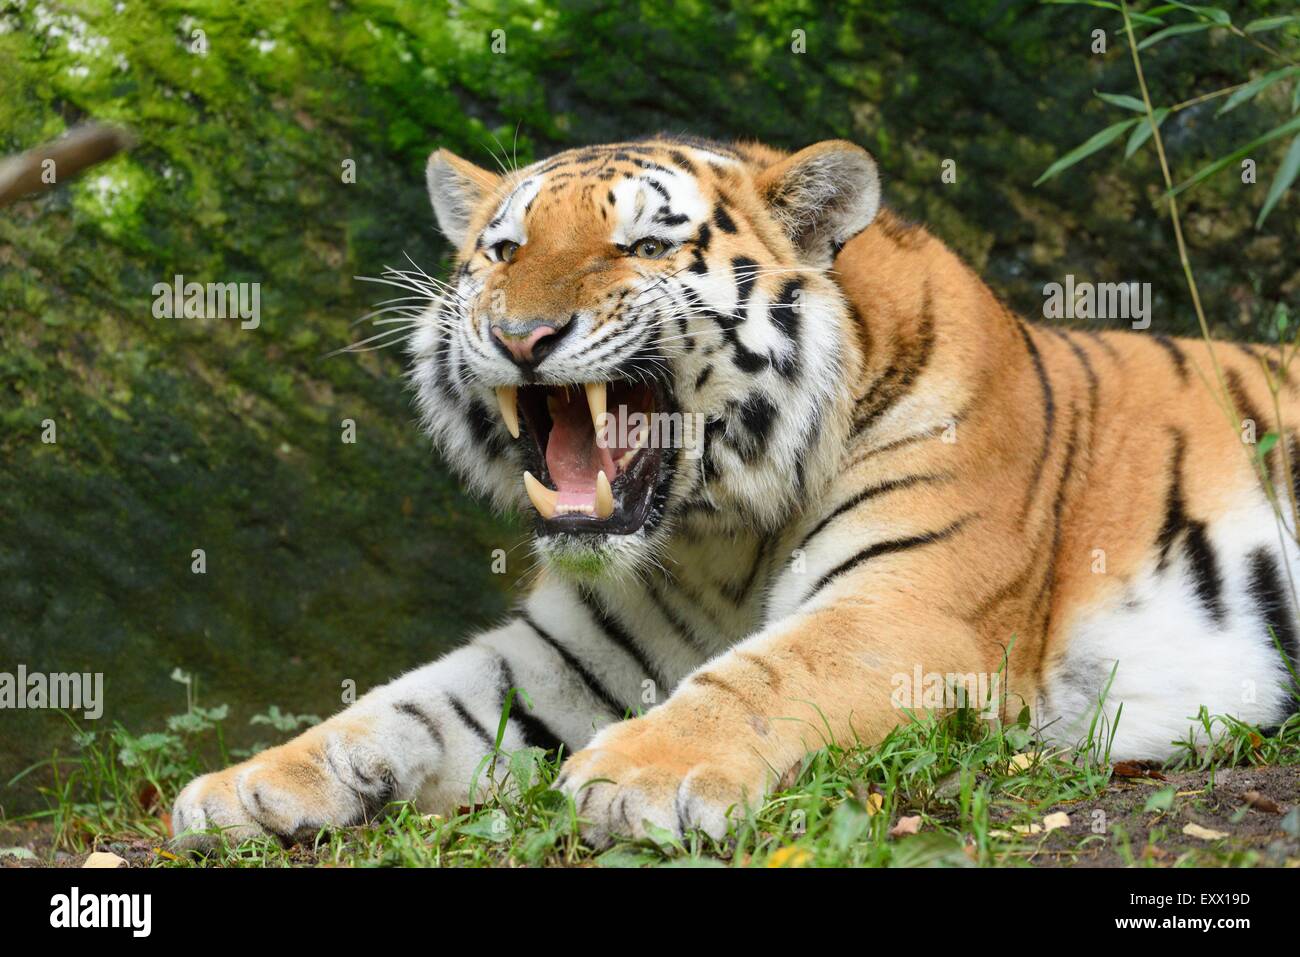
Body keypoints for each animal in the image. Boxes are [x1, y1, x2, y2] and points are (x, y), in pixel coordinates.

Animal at [172, 135, 1300, 849]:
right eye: (503, 250)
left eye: (644, 245)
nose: (521, 337)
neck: (713, 532)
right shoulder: (570, 653)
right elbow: (406, 703)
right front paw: (247, 785)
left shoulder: (909, 608)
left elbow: (763, 675)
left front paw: (633, 780)